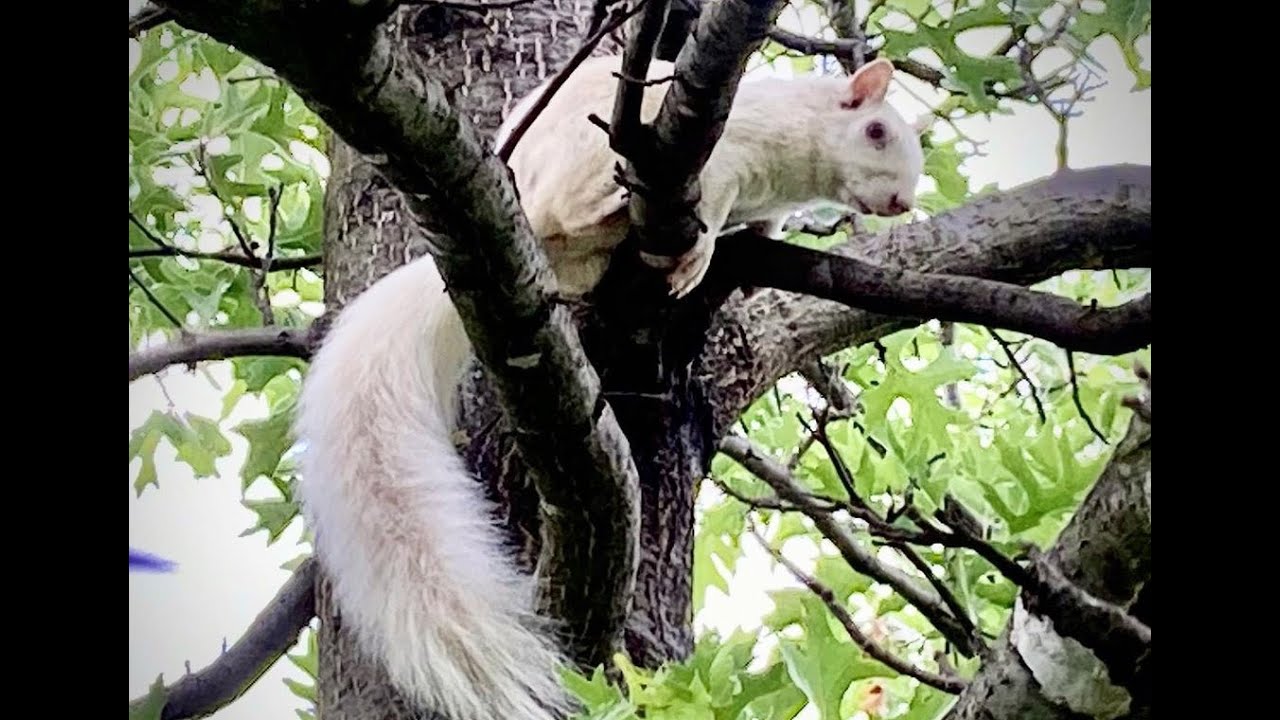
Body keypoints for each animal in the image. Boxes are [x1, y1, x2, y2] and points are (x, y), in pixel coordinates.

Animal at [295, 54, 928, 720]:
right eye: (877, 132)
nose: (900, 202)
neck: (790, 169)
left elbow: (762, 224)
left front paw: (753, 252)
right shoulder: (730, 152)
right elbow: (716, 199)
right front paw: (701, 252)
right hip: (583, 159)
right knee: (571, 206)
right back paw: (608, 205)